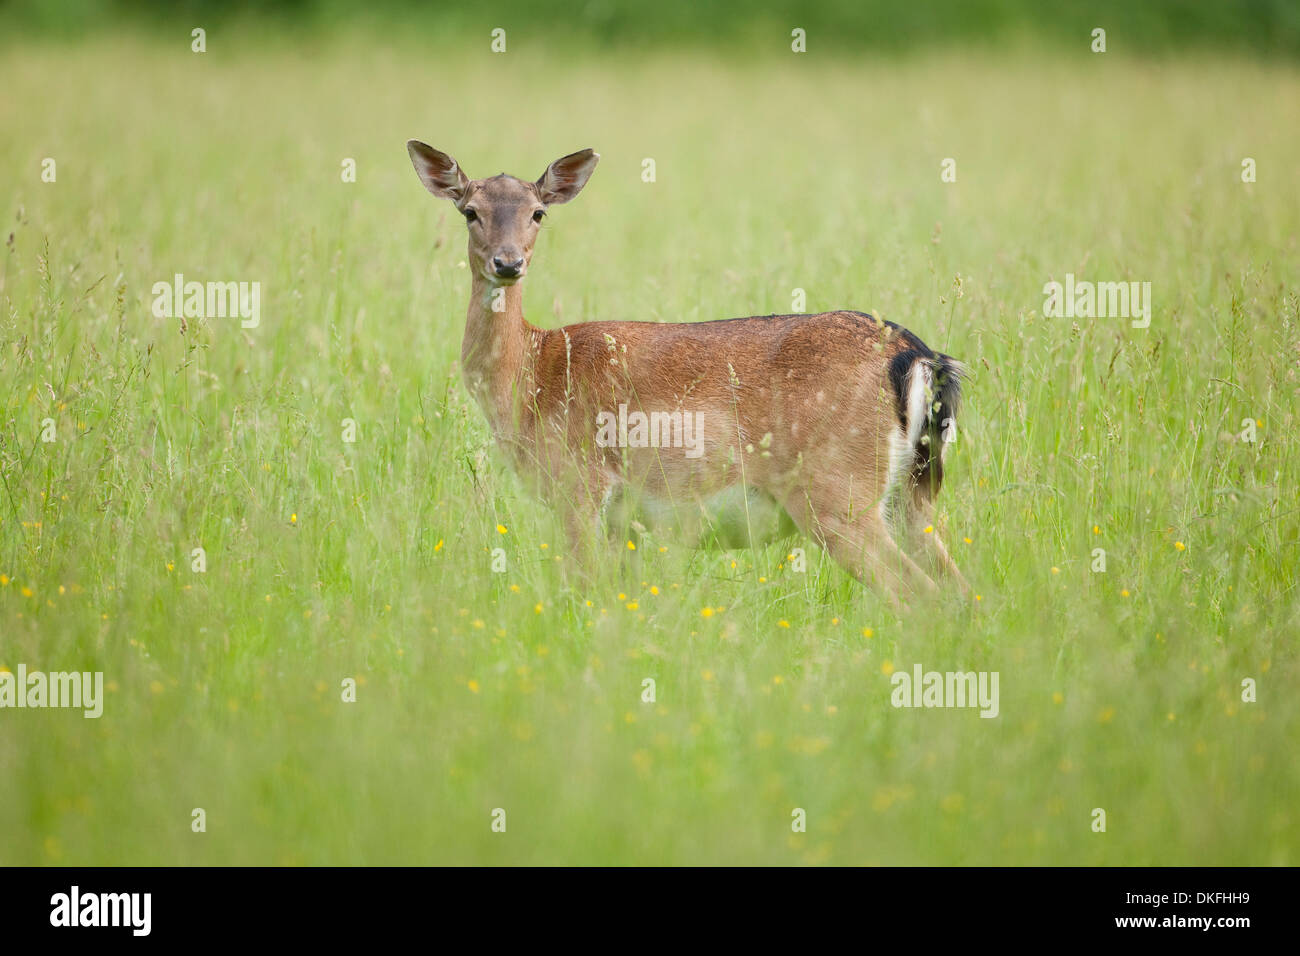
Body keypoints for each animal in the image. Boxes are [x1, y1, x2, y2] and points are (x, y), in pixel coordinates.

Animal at [406, 140, 969, 603]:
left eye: (538, 212)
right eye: (470, 211)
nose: (508, 263)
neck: (531, 377)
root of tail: (919, 356)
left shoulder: (579, 483)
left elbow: (581, 588)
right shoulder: (625, 520)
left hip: (838, 494)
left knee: (917, 596)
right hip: (912, 494)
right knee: (961, 592)